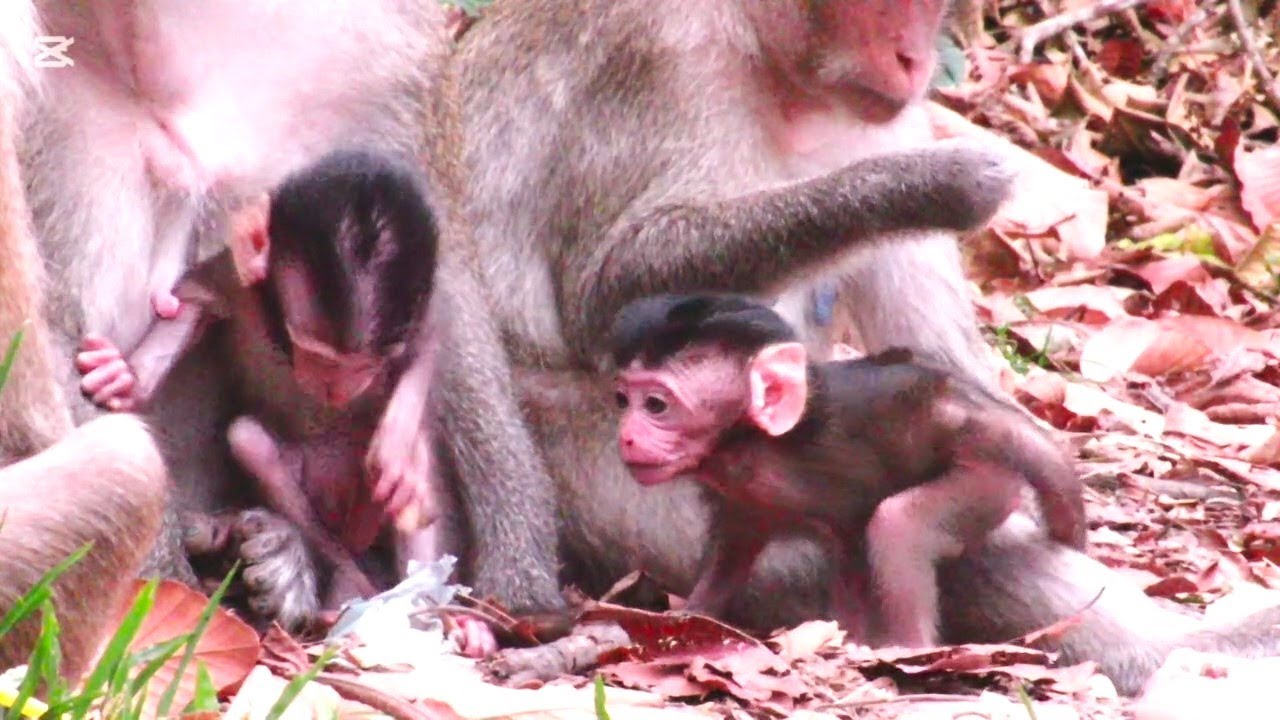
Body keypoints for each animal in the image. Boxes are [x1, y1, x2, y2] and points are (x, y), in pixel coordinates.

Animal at [74, 149, 453, 630]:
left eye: (367, 366)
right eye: (316, 353)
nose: (335, 389)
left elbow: (427, 342)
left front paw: (397, 443)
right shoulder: (237, 278)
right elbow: (193, 300)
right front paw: (127, 377)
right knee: (251, 443)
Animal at [609, 293, 1085, 647]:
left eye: (656, 405)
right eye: (623, 401)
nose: (626, 436)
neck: (756, 445)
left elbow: (856, 551)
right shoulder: (744, 497)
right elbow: (733, 552)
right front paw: (691, 619)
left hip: (985, 477)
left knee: (900, 521)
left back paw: (909, 650)